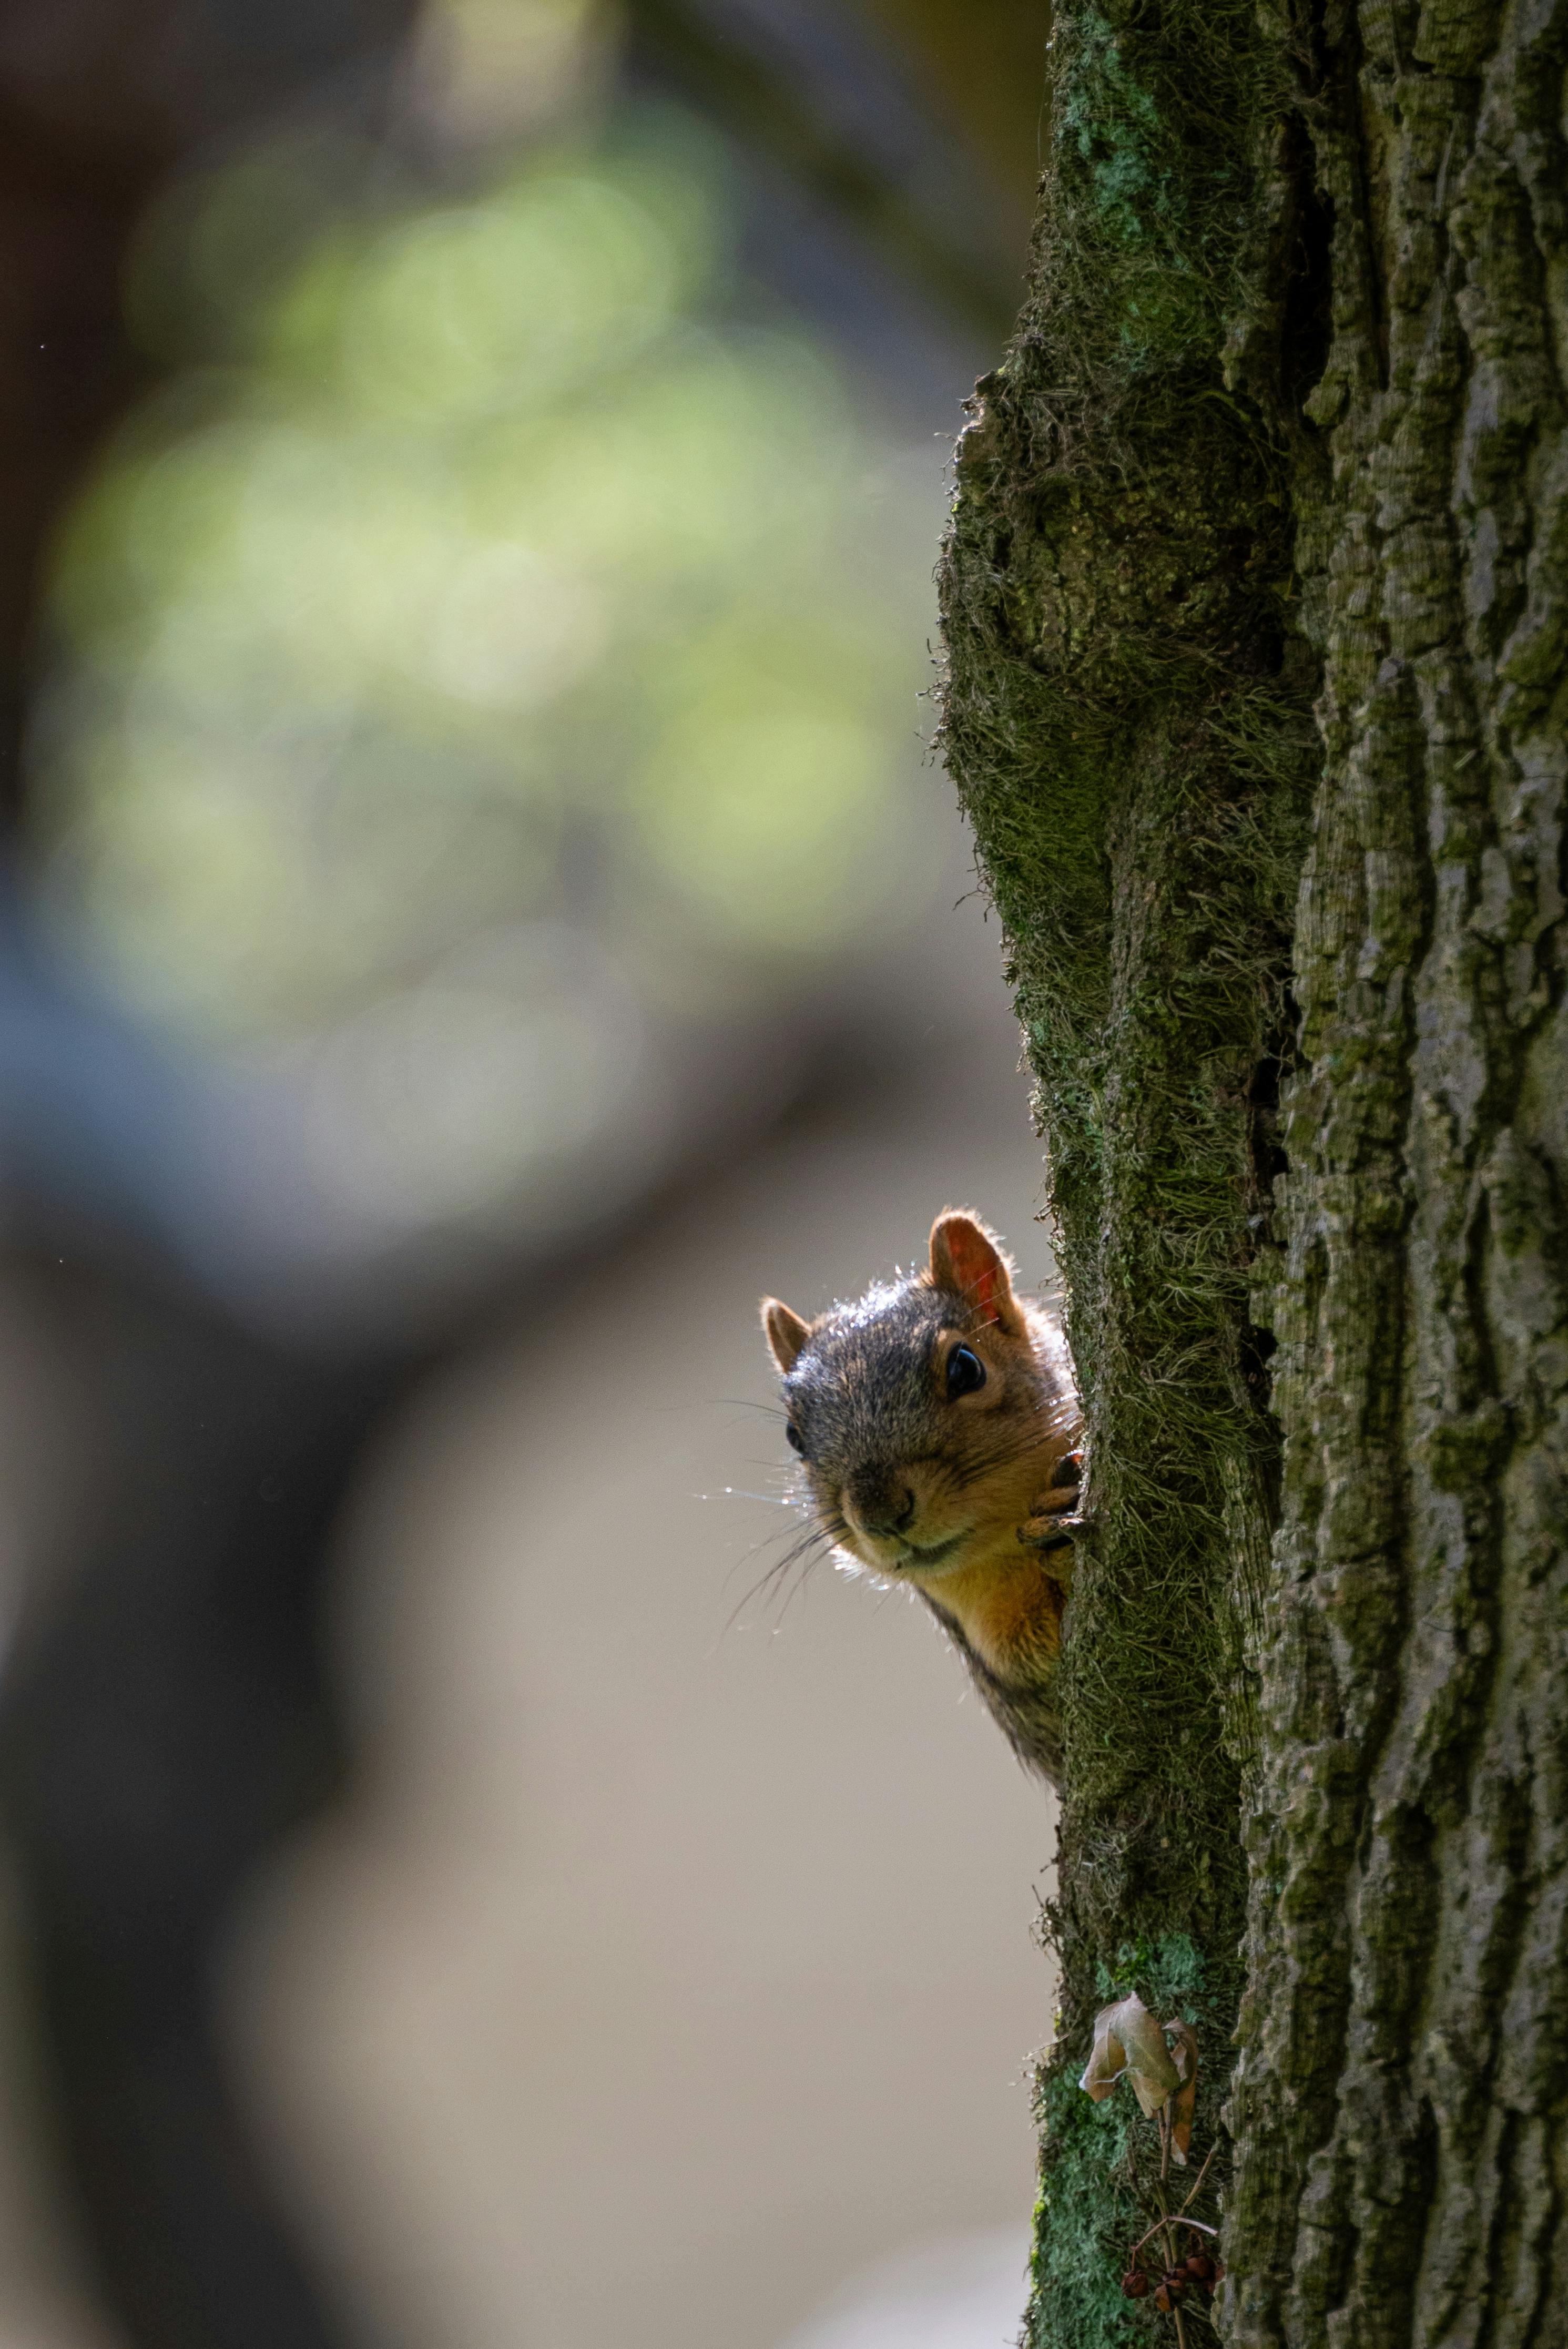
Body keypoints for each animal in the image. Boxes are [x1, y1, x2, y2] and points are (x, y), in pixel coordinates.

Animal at [760, 1209, 1082, 1785]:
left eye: (966, 1367)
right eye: (795, 1436)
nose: (880, 1513)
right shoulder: (1000, 1651)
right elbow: (1035, 1659)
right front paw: (1060, 1533)